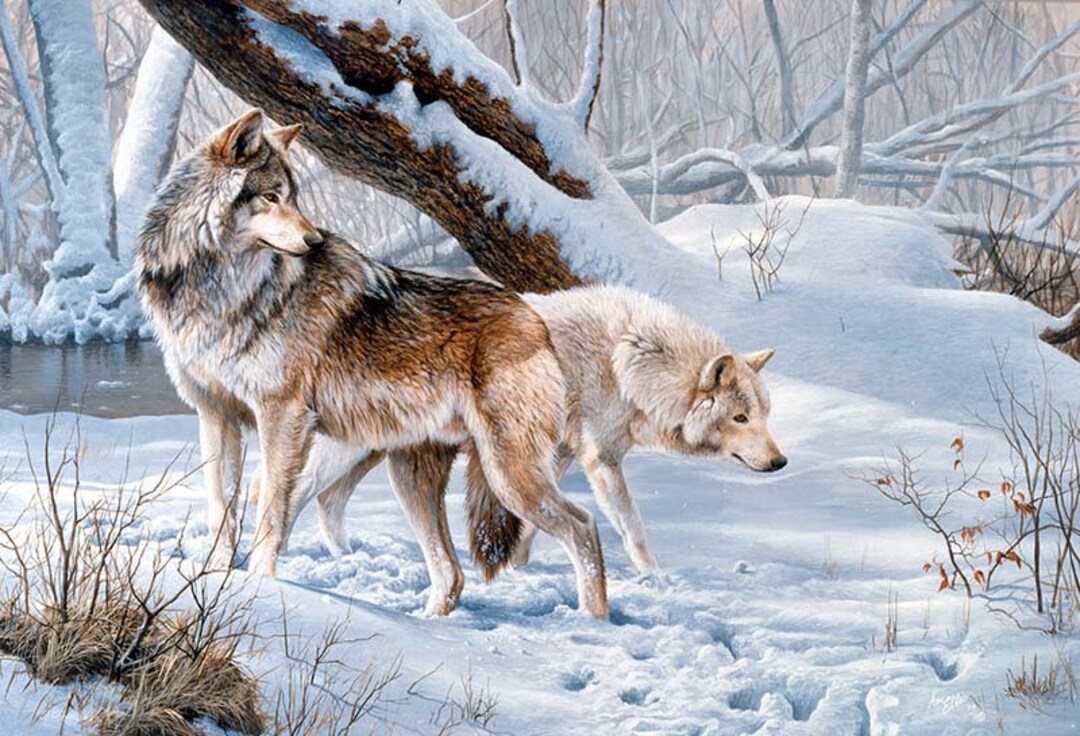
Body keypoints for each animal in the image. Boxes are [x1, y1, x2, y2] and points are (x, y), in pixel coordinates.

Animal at [136, 110, 608, 618]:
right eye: (271, 196)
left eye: (293, 197)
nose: (314, 240)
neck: (220, 288)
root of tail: (532, 315)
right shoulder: (215, 415)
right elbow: (221, 511)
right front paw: (218, 582)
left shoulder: (282, 416)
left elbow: (270, 515)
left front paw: (260, 588)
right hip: (412, 478)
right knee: (452, 574)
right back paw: (428, 626)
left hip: (507, 475)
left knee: (584, 527)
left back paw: (594, 624)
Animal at [277, 285, 785, 575]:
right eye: (740, 419)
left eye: (764, 414)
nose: (781, 462)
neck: (629, 362)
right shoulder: (601, 460)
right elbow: (632, 526)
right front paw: (655, 577)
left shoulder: (557, 454)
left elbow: (531, 521)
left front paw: (519, 565)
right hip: (349, 452)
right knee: (290, 489)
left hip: (370, 451)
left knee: (328, 499)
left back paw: (340, 555)